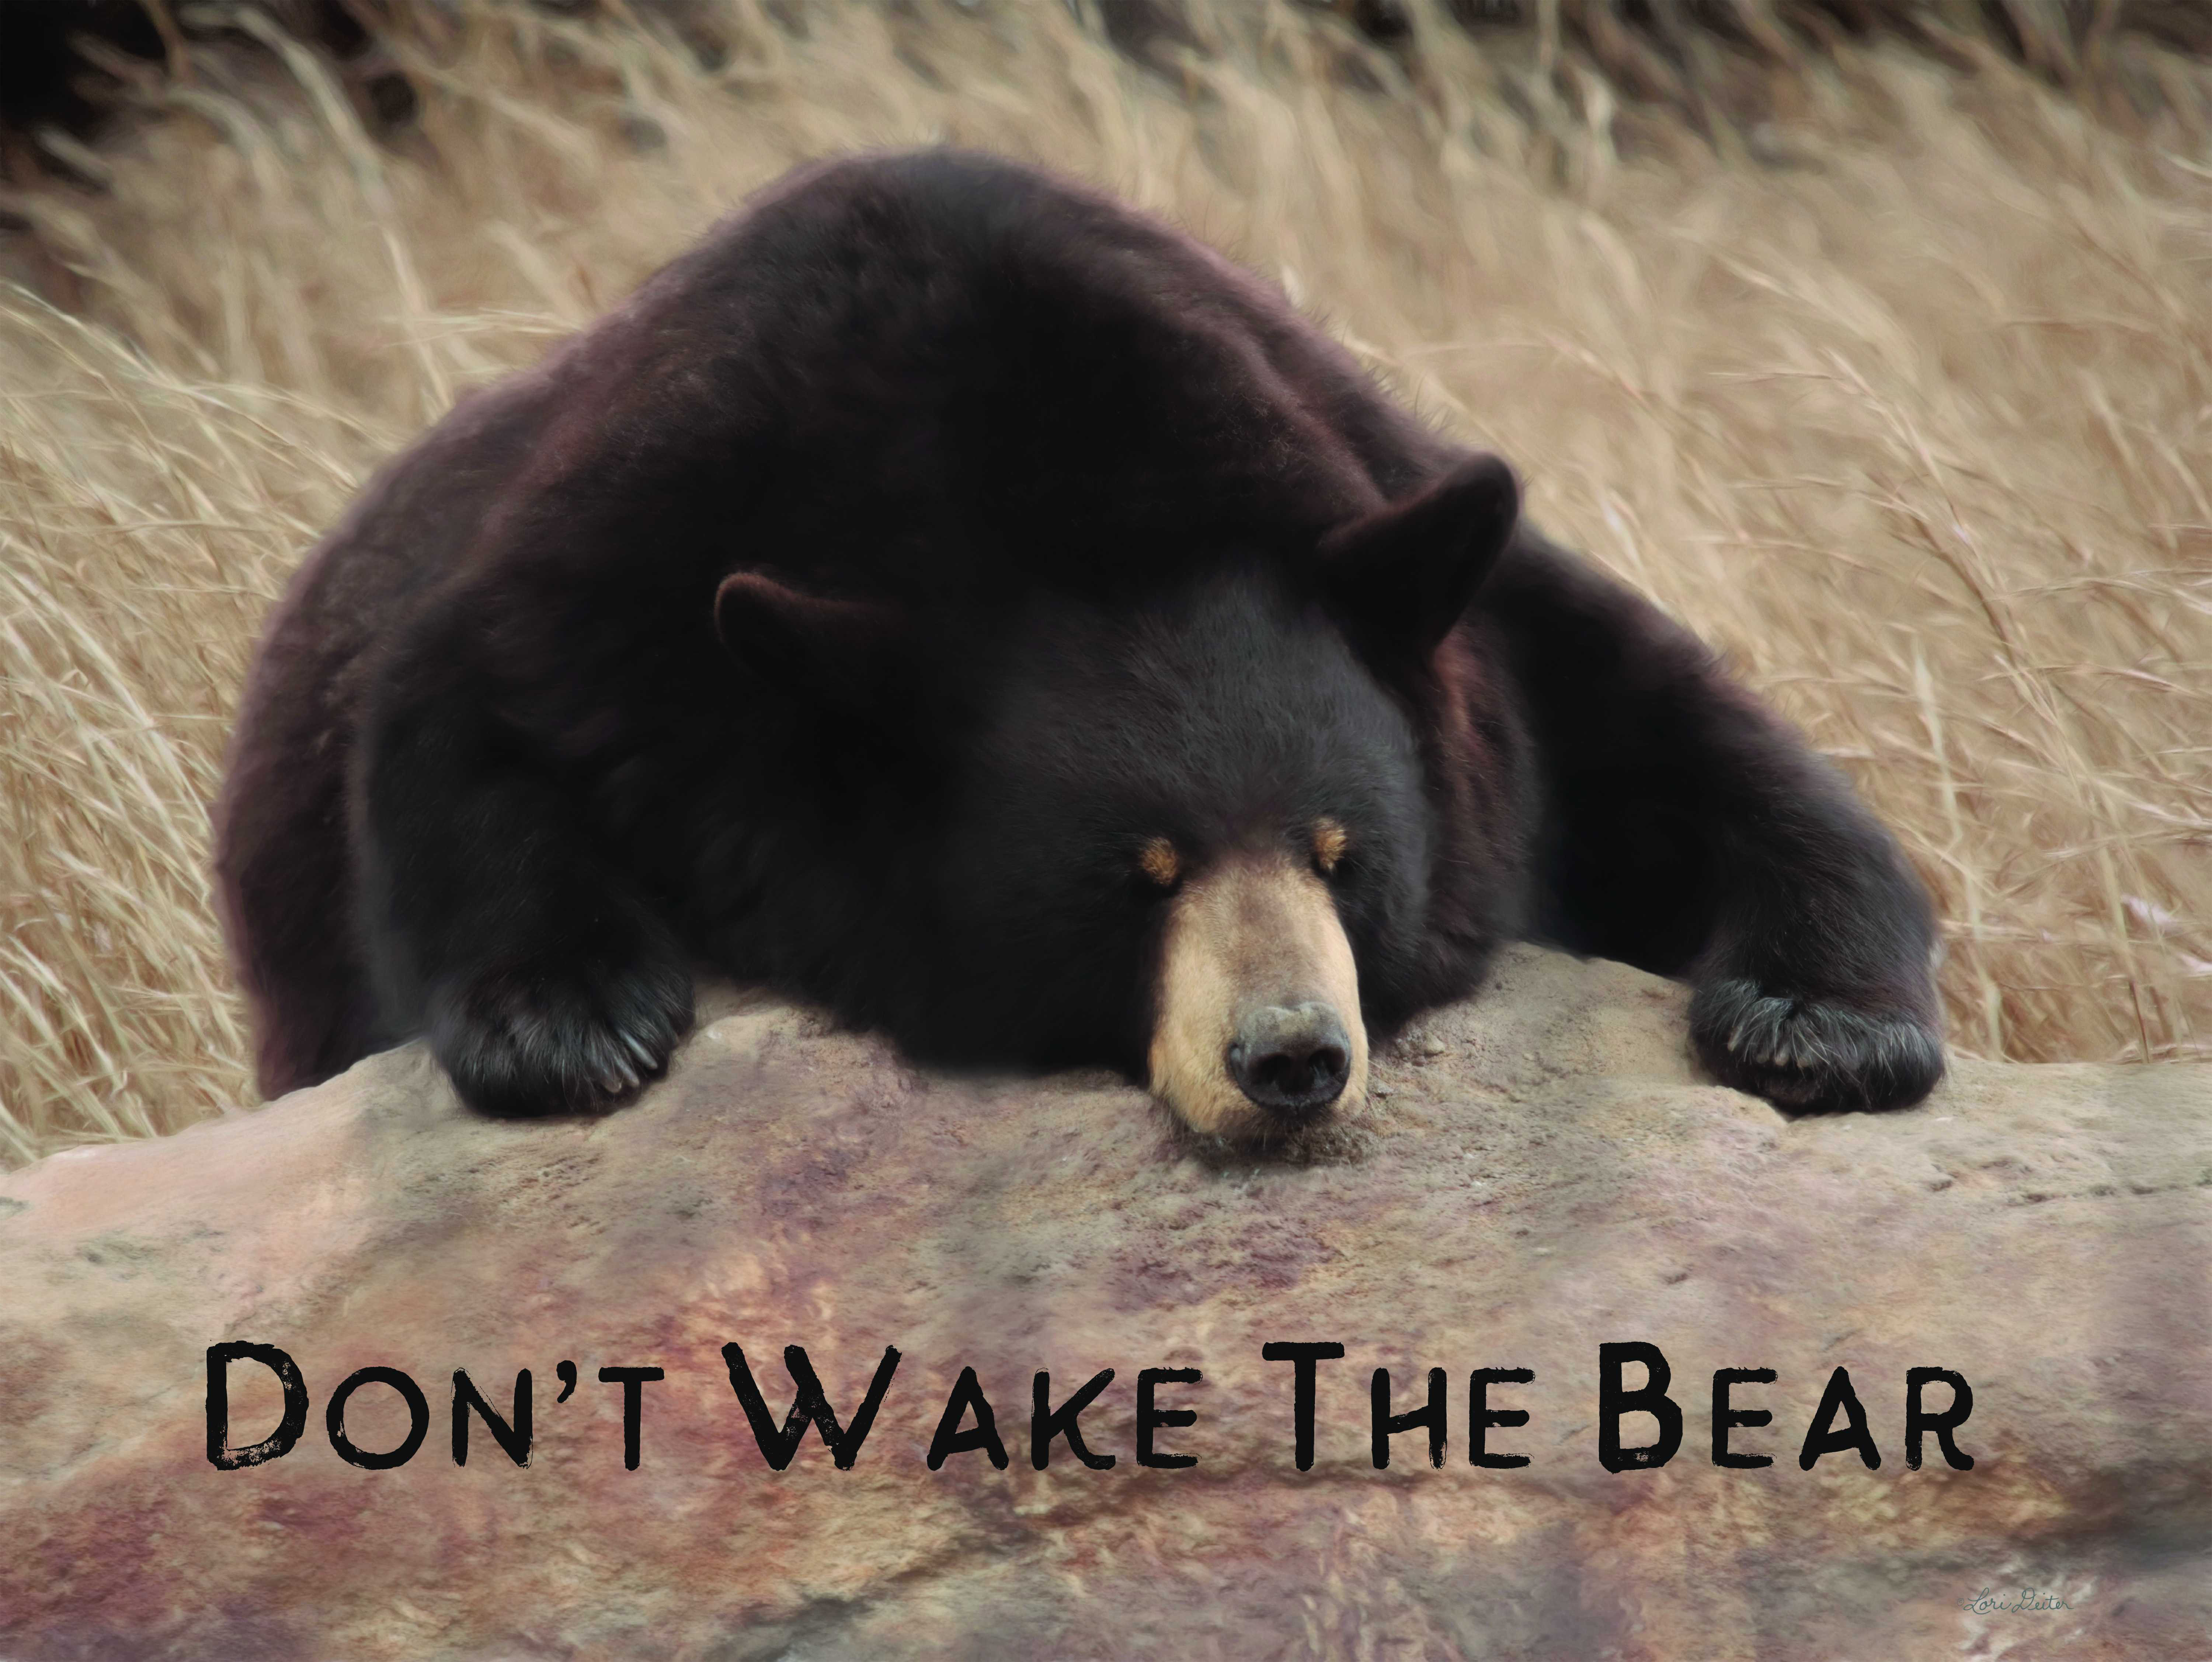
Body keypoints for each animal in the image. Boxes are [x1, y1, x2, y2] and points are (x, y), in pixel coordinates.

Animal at [212, 148, 1945, 1142]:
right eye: (1141, 871)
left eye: (1341, 854)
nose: (1291, 1058)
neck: (1066, 493)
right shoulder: (634, 555)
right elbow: (467, 720)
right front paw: (573, 1022)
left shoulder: (1421, 553)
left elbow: (1667, 725)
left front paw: (1820, 1021)